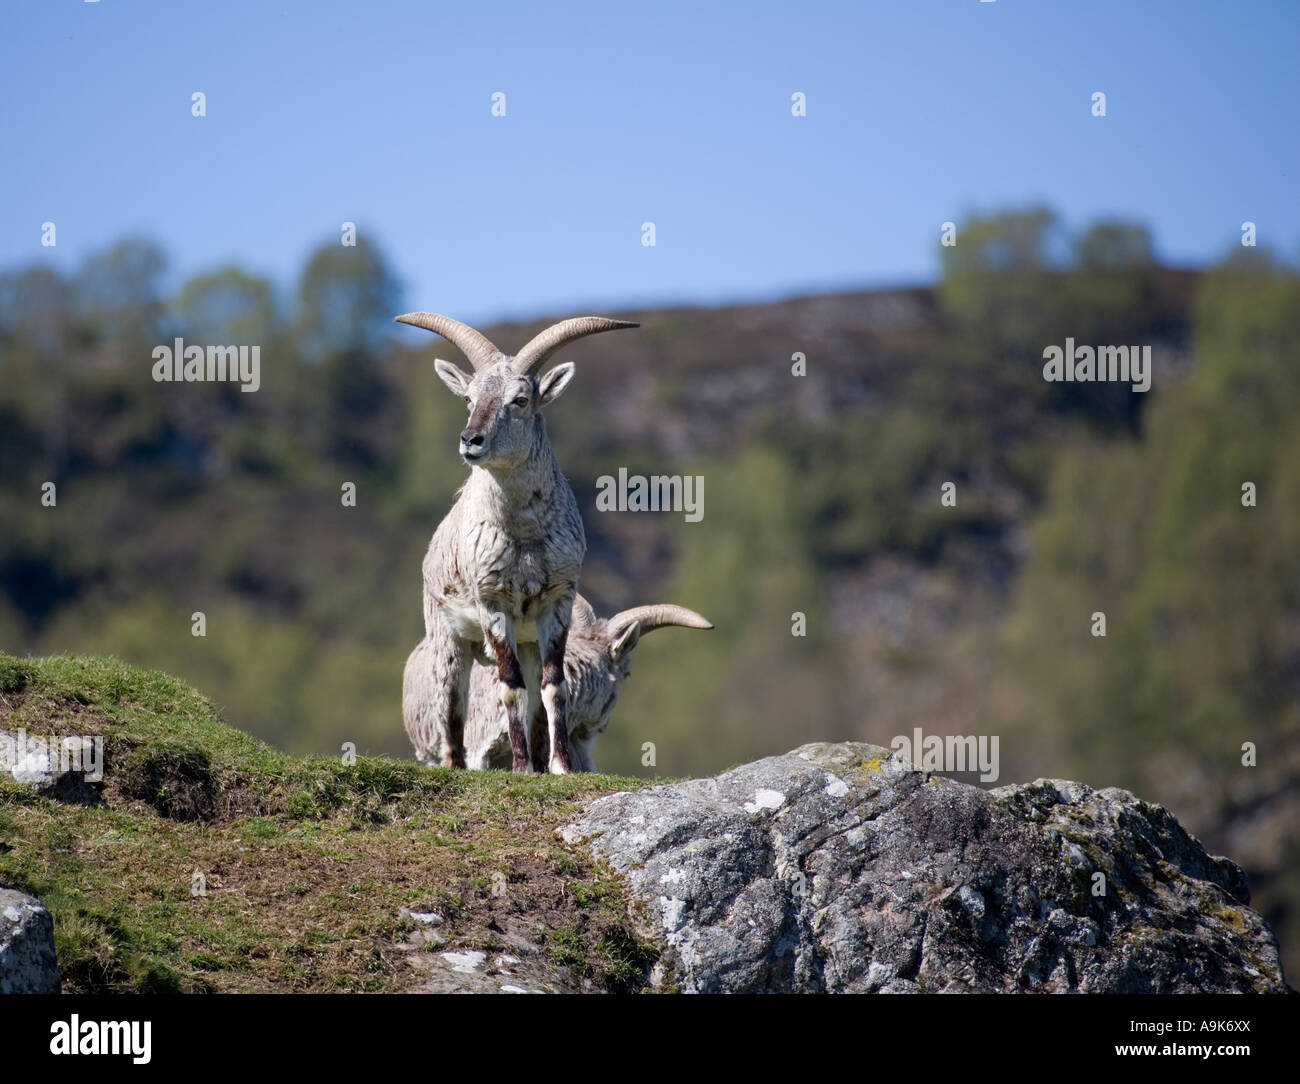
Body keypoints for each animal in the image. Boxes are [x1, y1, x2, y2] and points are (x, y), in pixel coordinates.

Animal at [396, 312, 638, 773]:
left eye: (520, 400)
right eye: (468, 398)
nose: (470, 440)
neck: (524, 537)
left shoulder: (557, 602)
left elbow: (552, 687)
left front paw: (559, 767)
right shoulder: (493, 602)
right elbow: (510, 687)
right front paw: (522, 767)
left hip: (525, 639)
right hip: (447, 634)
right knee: (452, 700)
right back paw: (456, 764)